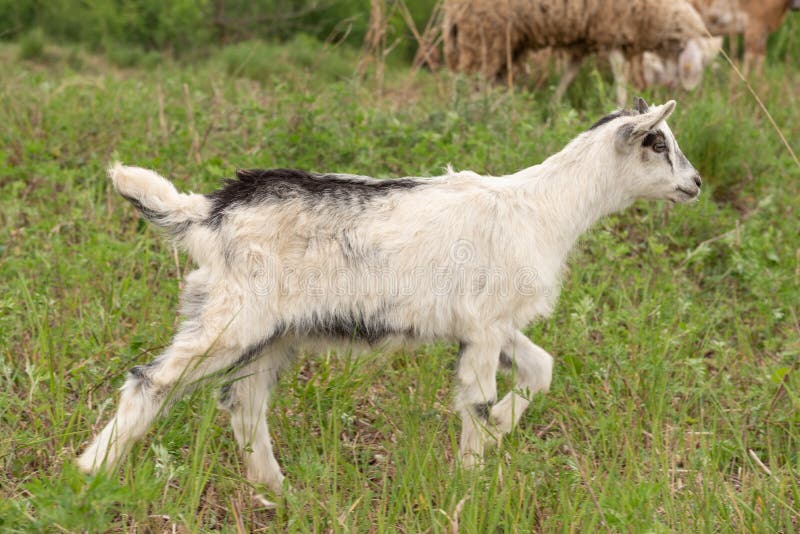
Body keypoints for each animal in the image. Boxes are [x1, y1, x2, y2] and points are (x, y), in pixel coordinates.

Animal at [77, 98, 701, 504]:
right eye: (658, 143)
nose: (695, 184)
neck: (542, 208)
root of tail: (208, 214)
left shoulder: (490, 325)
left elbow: (541, 368)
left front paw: (501, 429)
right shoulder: (484, 326)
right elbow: (475, 403)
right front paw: (472, 482)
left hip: (272, 332)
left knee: (244, 404)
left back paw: (277, 492)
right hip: (231, 320)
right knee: (152, 383)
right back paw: (87, 474)